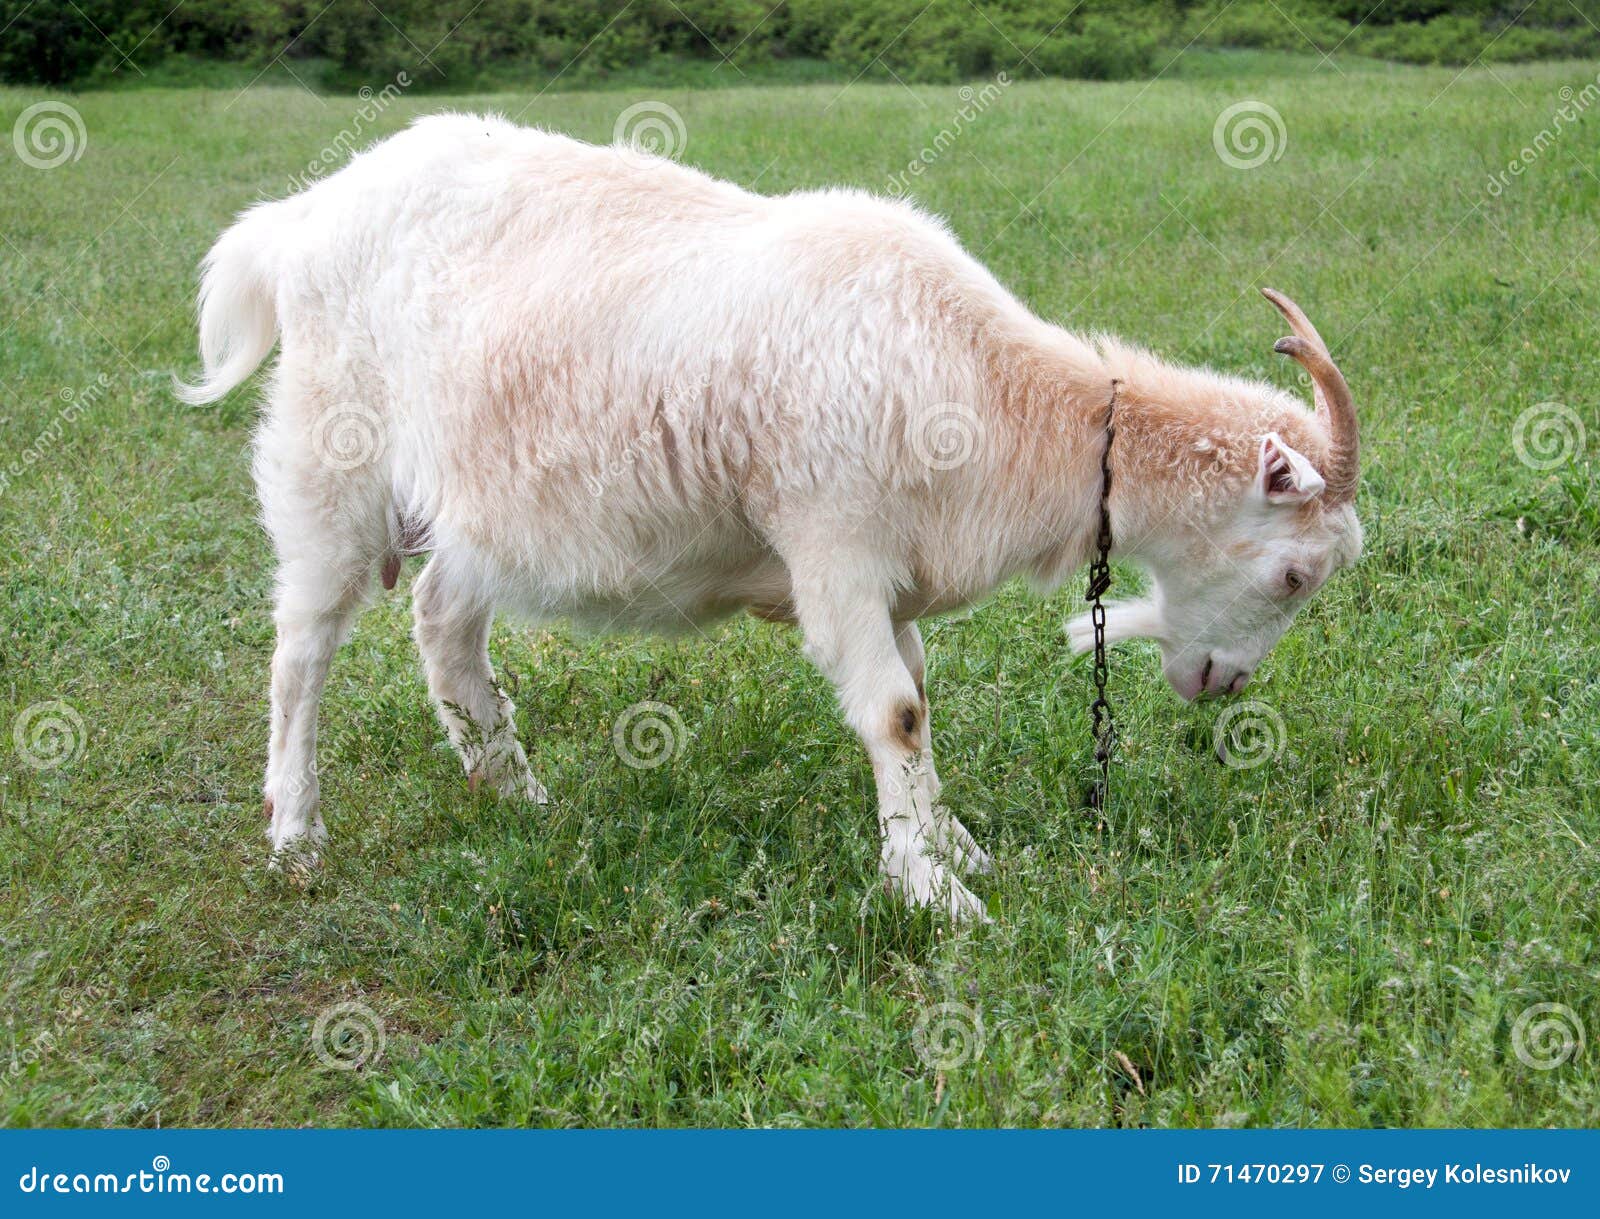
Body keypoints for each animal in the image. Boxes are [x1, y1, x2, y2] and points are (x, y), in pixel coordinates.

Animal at [179, 113, 1363, 919]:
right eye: (1294, 575)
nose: (1224, 686)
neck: (989, 388)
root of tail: (299, 219)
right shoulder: (831, 543)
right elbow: (895, 711)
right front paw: (936, 894)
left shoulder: (892, 570)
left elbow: (918, 698)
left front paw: (957, 845)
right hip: (331, 452)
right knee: (303, 643)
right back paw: (297, 831)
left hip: (479, 503)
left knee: (440, 620)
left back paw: (514, 789)